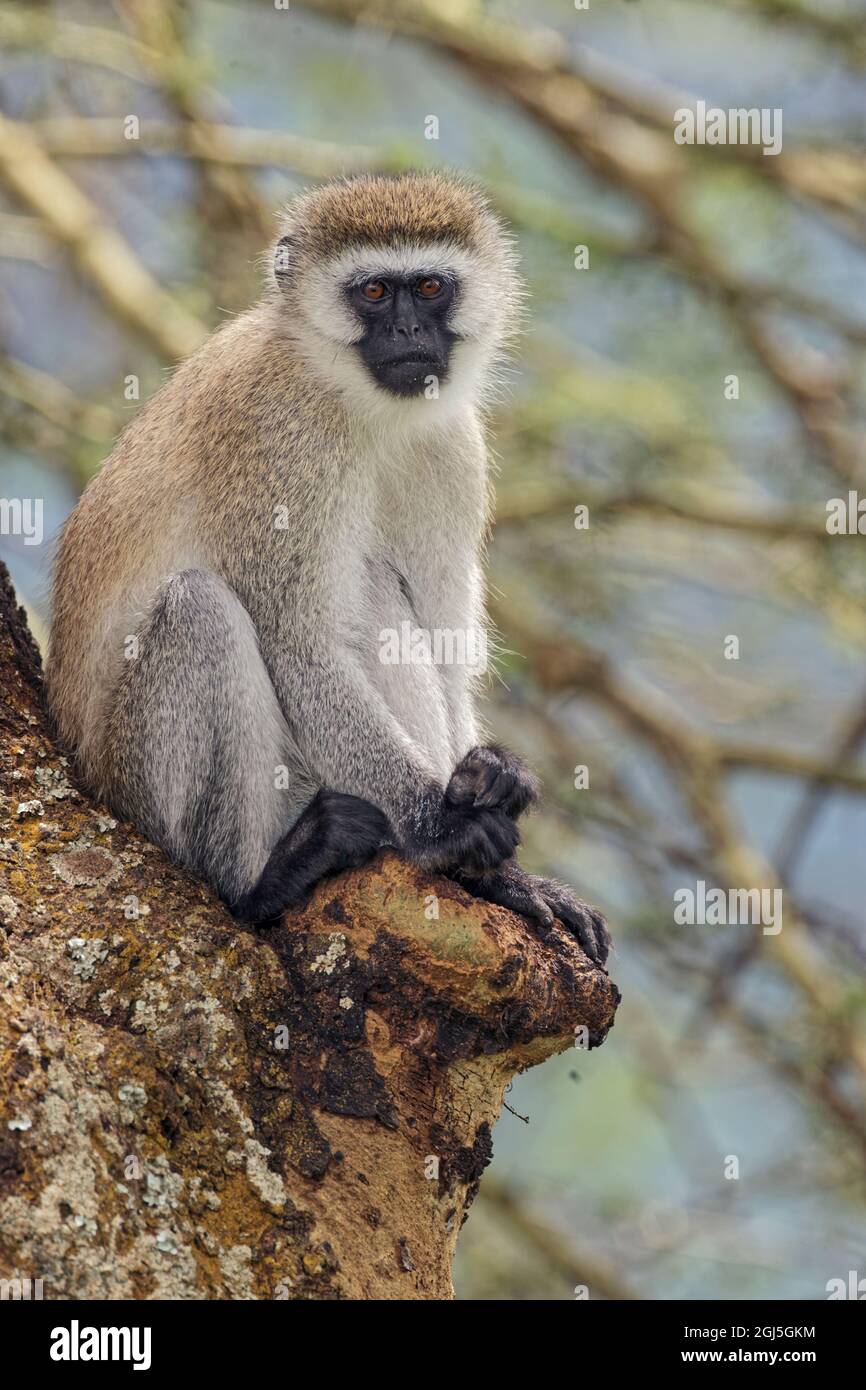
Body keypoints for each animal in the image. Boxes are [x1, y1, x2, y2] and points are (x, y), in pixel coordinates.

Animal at [45, 172, 610, 967]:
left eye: (429, 286)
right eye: (373, 292)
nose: (407, 334)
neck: (356, 402)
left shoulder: (451, 447)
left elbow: (446, 651)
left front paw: (495, 817)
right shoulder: (283, 436)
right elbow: (299, 648)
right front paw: (444, 831)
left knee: (372, 589)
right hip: (141, 791)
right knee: (200, 611)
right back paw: (262, 883)